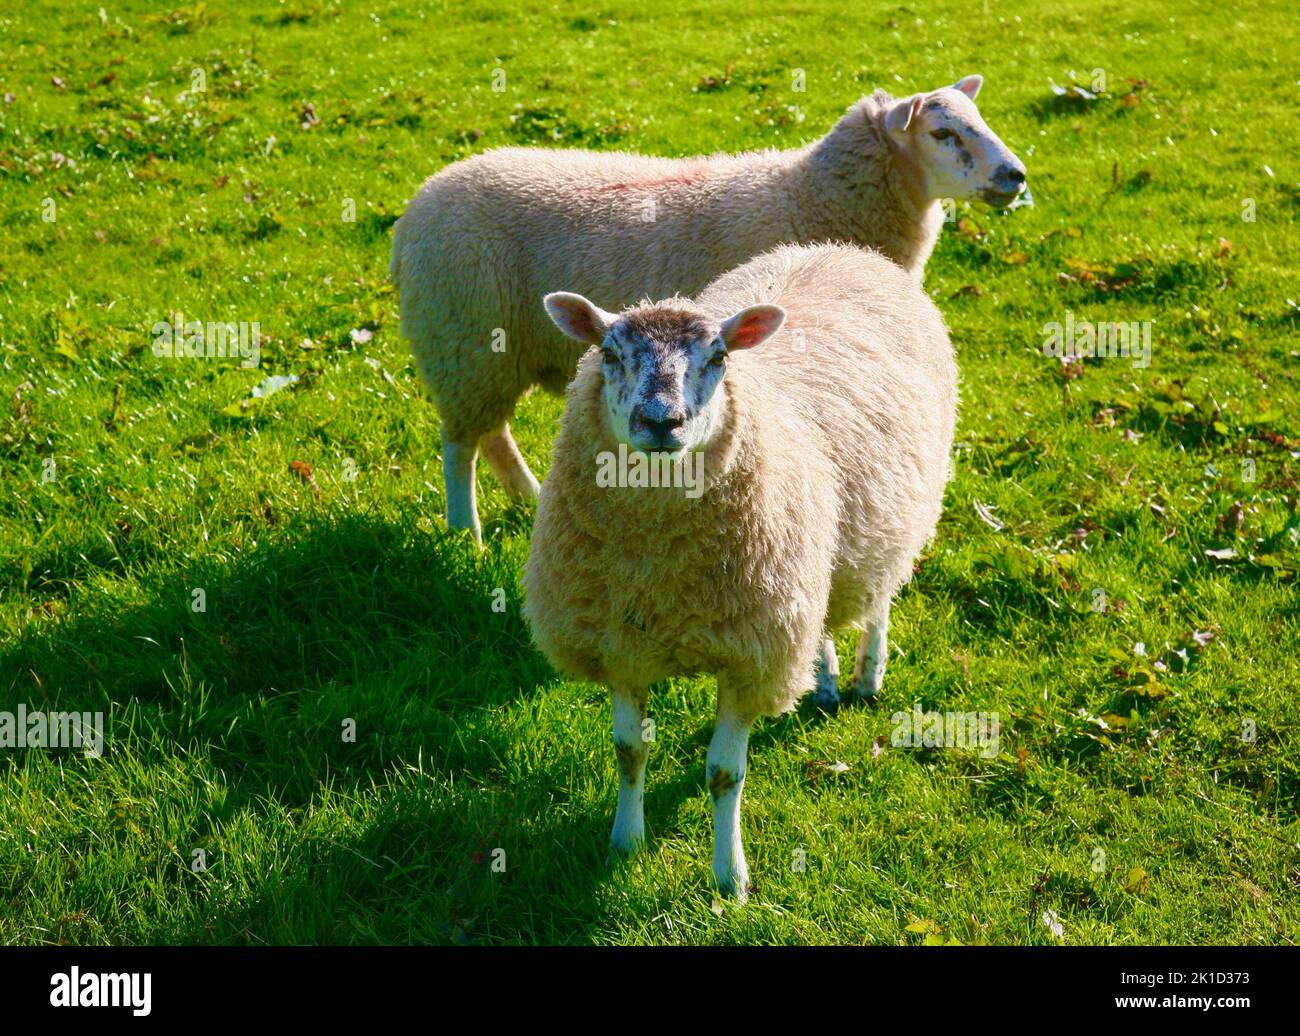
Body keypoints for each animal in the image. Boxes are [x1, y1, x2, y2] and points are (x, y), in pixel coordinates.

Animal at [390, 74, 1019, 543]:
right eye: (942, 131)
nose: (1016, 176)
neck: (813, 195)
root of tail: (415, 208)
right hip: (462, 335)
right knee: (461, 444)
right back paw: (464, 533)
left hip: (489, 351)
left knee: (492, 432)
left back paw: (527, 497)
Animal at [521, 242, 957, 899]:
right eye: (609, 353)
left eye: (718, 357)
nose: (662, 421)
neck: (663, 574)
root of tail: (838, 249)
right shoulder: (621, 645)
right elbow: (628, 754)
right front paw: (625, 844)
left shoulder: (751, 656)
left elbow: (725, 774)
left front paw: (730, 877)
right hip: (807, 559)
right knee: (821, 614)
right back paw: (824, 678)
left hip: (890, 520)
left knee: (879, 594)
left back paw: (867, 673)